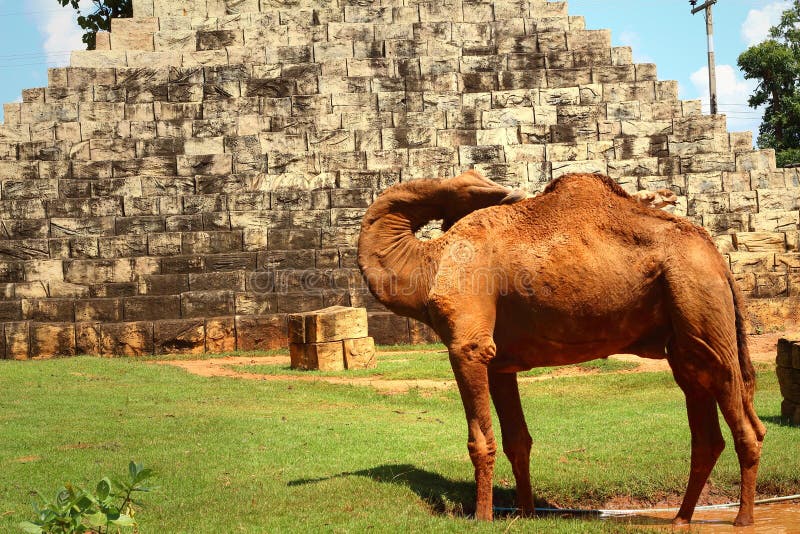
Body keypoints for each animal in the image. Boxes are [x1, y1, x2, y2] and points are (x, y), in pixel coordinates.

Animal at [357, 171, 766, 526]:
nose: (511, 190)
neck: (428, 260)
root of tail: (718, 259)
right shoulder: (500, 362)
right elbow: (517, 440)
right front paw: (525, 513)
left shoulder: (468, 343)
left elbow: (480, 441)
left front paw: (483, 517)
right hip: (684, 334)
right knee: (705, 422)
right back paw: (681, 519)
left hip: (698, 299)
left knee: (742, 413)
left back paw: (743, 519)